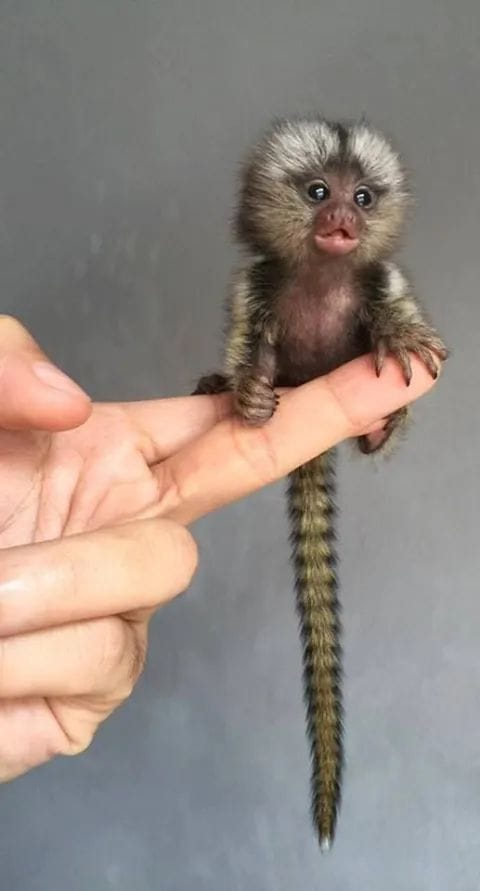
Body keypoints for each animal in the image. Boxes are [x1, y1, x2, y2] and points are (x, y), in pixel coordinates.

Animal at [192, 116, 447, 851]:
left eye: (362, 197)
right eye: (317, 192)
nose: (341, 220)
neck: (322, 275)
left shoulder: (383, 279)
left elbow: (395, 313)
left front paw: (397, 333)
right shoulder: (254, 290)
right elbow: (248, 344)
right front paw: (246, 390)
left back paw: (380, 430)